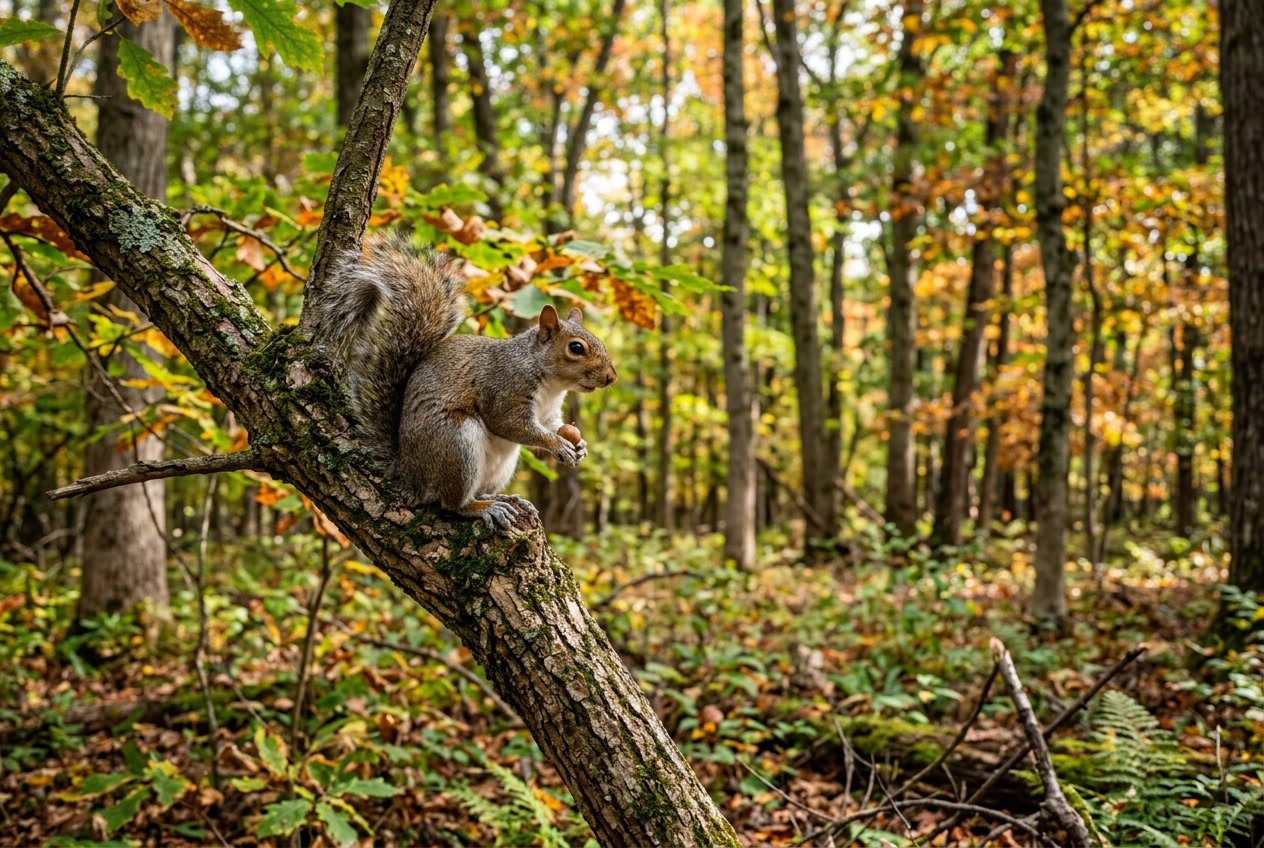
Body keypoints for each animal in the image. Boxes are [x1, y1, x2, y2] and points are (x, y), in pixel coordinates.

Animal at [313, 233, 618, 530]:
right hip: (456, 443)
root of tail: (410, 474)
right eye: (576, 348)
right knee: (451, 503)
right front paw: (557, 445)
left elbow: (552, 425)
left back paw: (504, 499)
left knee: (480, 490)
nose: (610, 377)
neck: (551, 382)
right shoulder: (504, 387)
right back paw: (481, 508)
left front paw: (579, 445)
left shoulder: (548, 411)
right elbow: (510, 424)